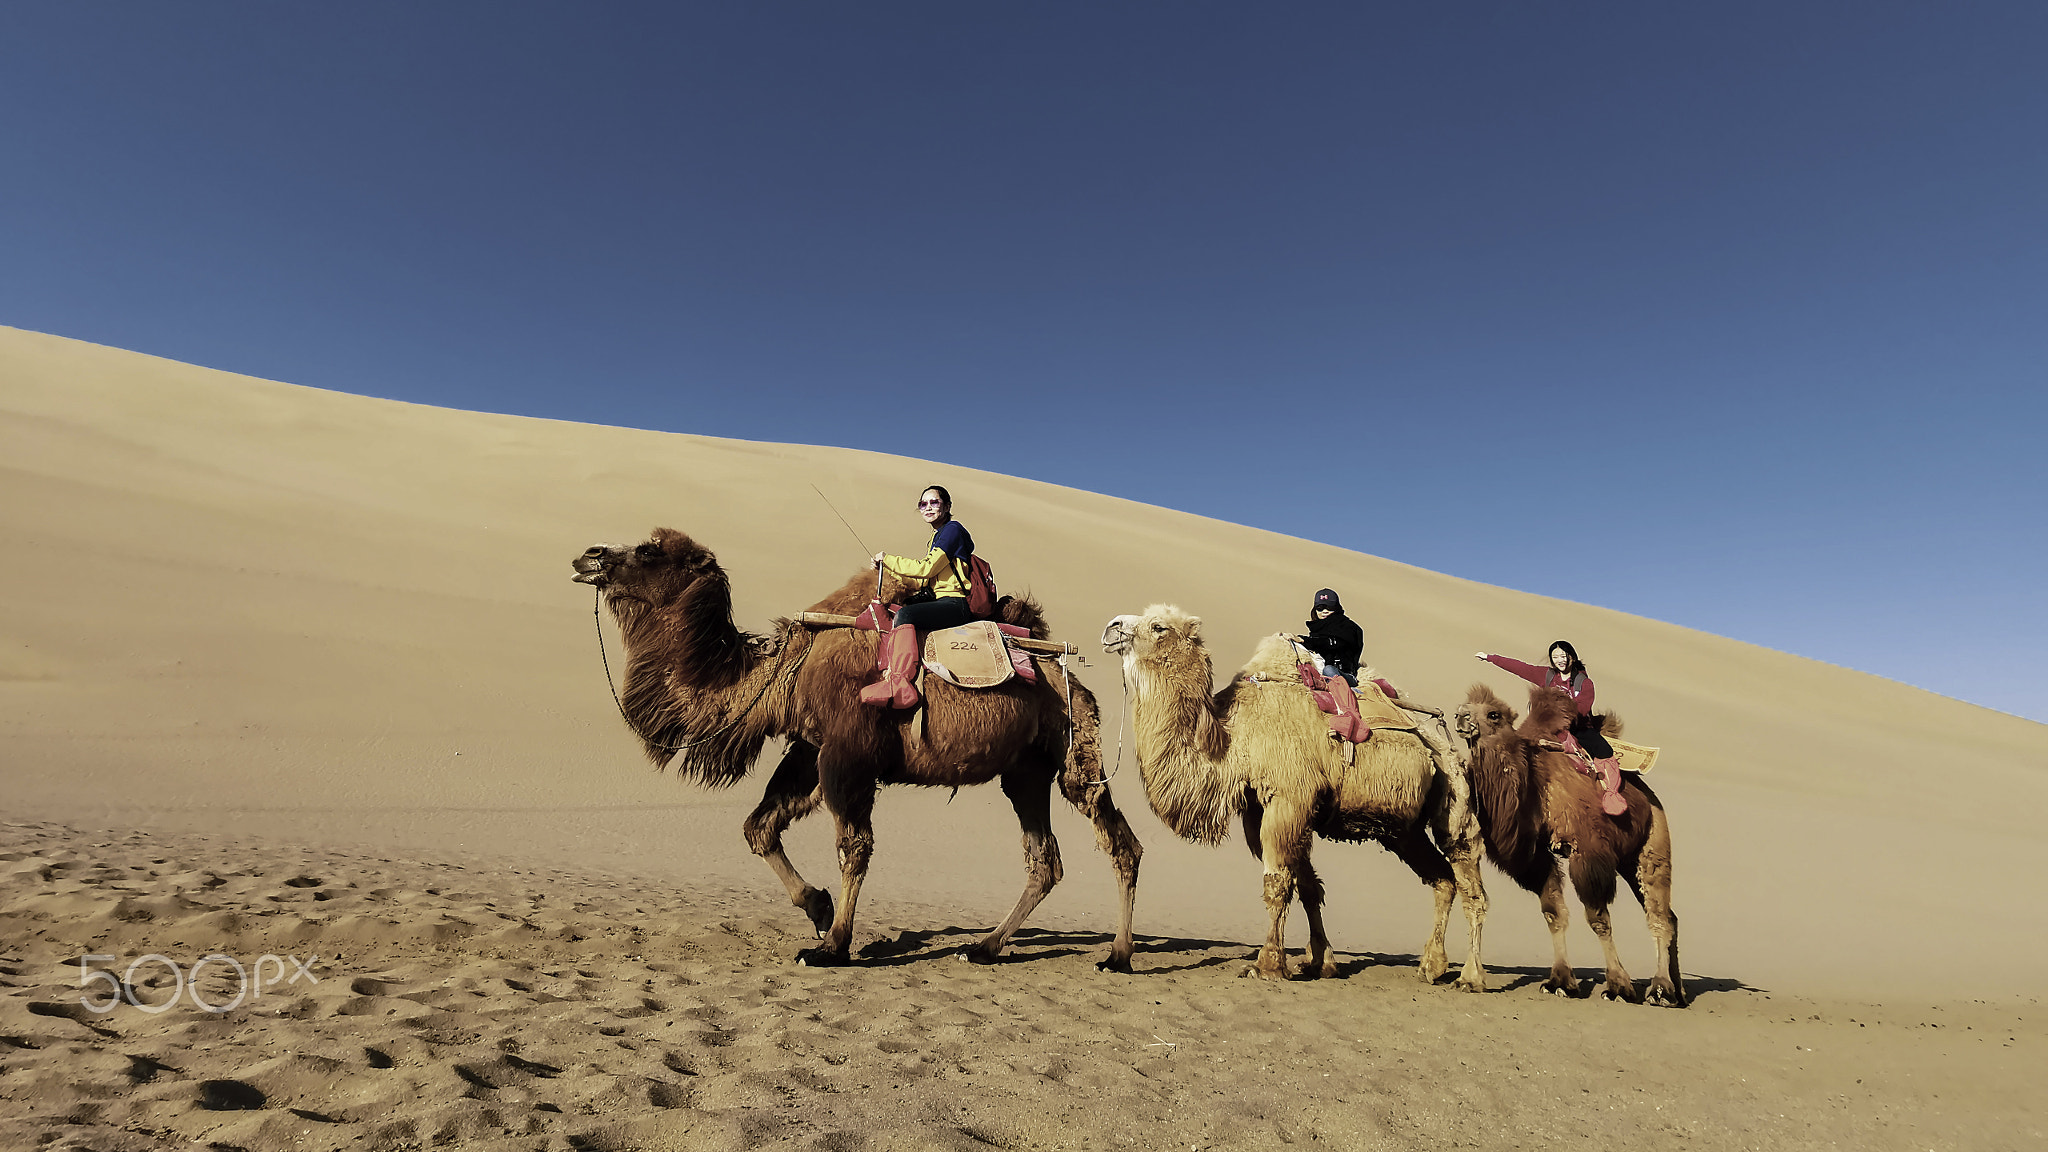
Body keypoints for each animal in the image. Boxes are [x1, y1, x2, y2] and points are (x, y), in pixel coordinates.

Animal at [572, 528, 1143, 971]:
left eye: (650, 550)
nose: (588, 555)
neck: (786, 671)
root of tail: (1070, 676)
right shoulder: (810, 748)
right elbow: (760, 826)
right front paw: (818, 908)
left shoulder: (846, 755)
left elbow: (854, 847)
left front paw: (832, 947)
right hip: (1025, 772)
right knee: (1045, 860)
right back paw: (984, 948)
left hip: (1074, 749)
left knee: (1117, 841)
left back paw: (1117, 956)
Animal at [1101, 606, 1489, 986]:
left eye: (1159, 626)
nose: (1111, 627)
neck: (1233, 741)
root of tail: (1439, 735)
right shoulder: (1262, 809)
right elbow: (1307, 885)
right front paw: (1321, 963)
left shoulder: (1290, 798)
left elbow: (1277, 883)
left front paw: (1268, 965)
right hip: (1402, 830)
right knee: (1443, 879)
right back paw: (1432, 966)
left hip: (1453, 797)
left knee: (1469, 880)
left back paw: (1470, 976)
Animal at [1453, 683, 1685, 1006]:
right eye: (1463, 707)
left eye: (1493, 714)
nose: (1460, 716)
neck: (1534, 787)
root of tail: (1650, 797)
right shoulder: (1536, 857)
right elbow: (1554, 913)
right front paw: (1560, 982)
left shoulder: (1588, 853)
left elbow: (1598, 919)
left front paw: (1618, 986)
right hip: (1630, 859)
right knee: (1670, 916)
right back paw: (1679, 991)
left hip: (1654, 843)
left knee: (1658, 915)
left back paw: (1661, 989)